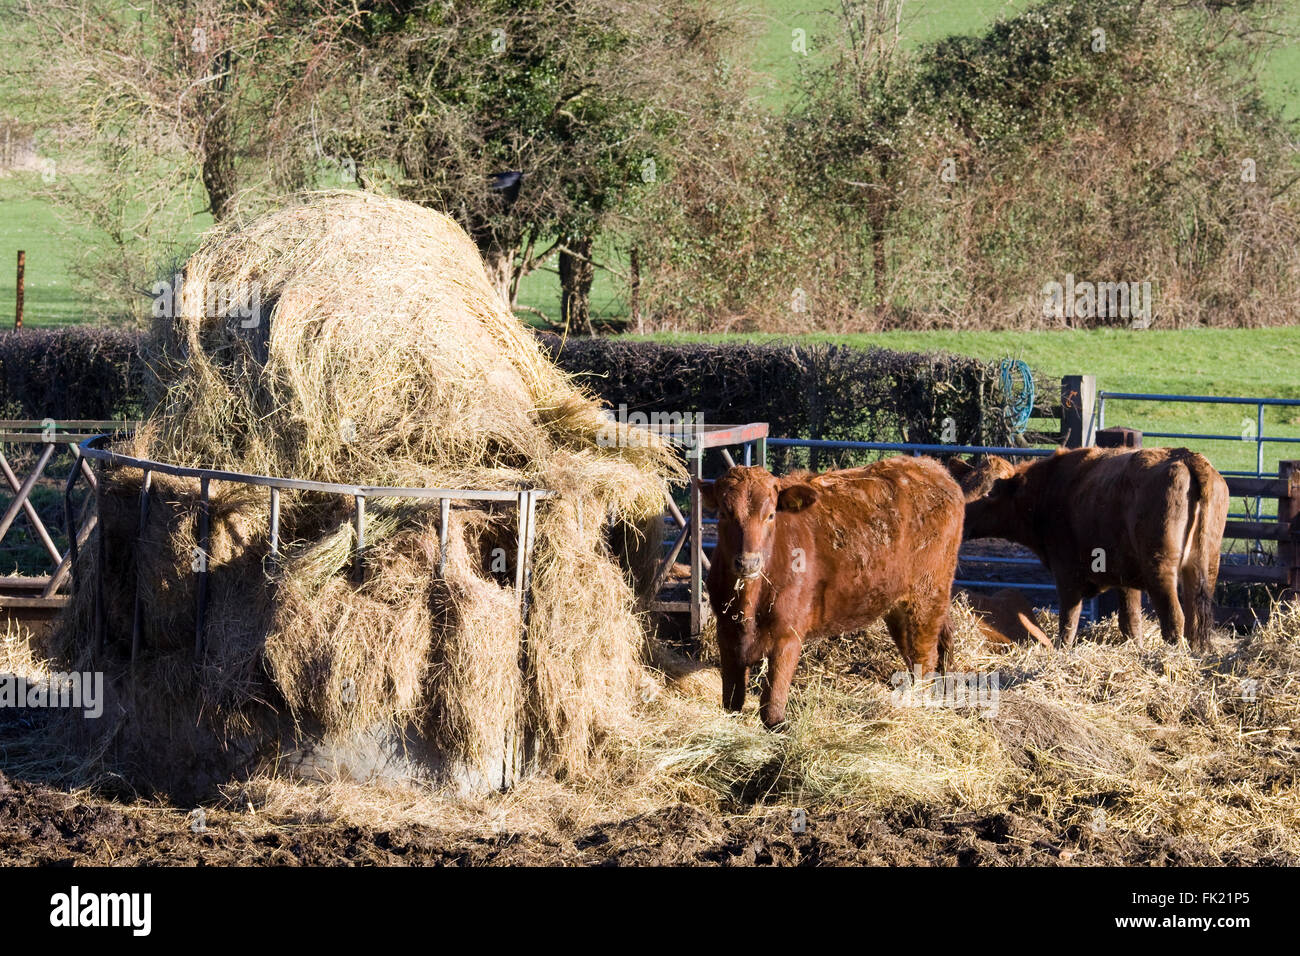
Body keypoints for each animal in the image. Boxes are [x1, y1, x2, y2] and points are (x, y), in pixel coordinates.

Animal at [697, 458, 965, 728]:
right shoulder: (726, 633)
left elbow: (772, 710)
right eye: (723, 514)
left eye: (771, 515)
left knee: (925, 658)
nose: (748, 562)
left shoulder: (788, 636)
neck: (749, 604)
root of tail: (931, 467)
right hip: (900, 606)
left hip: (926, 599)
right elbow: (731, 702)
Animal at [953, 447, 1228, 651]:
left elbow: (1068, 622)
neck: (1048, 488)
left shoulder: (1066, 573)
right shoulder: (1125, 579)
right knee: (1195, 620)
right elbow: (1131, 622)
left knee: (1174, 618)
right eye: (964, 484)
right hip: (1205, 566)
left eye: (990, 492)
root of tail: (1187, 457)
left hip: (1161, 570)